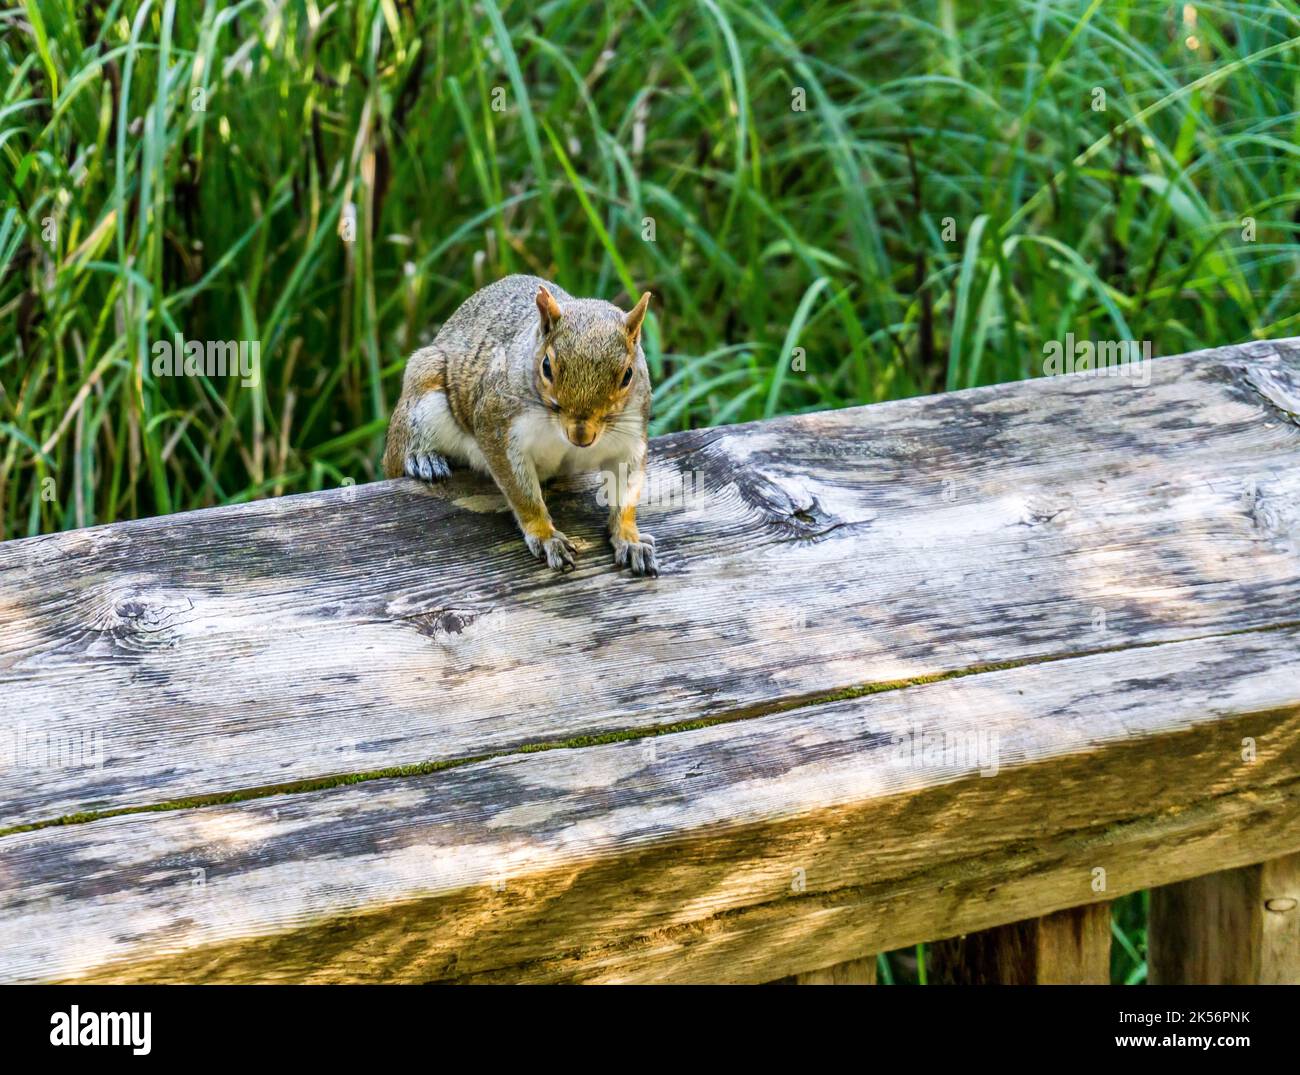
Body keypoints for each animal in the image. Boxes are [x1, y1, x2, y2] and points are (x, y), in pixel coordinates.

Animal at [383, 274, 658, 576]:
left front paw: (629, 539)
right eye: (547, 366)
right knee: (403, 445)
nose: (581, 435)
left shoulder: (630, 438)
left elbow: (626, 494)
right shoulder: (497, 425)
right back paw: (423, 458)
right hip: (424, 391)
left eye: (628, 375)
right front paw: (546, 536)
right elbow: (522, 493)